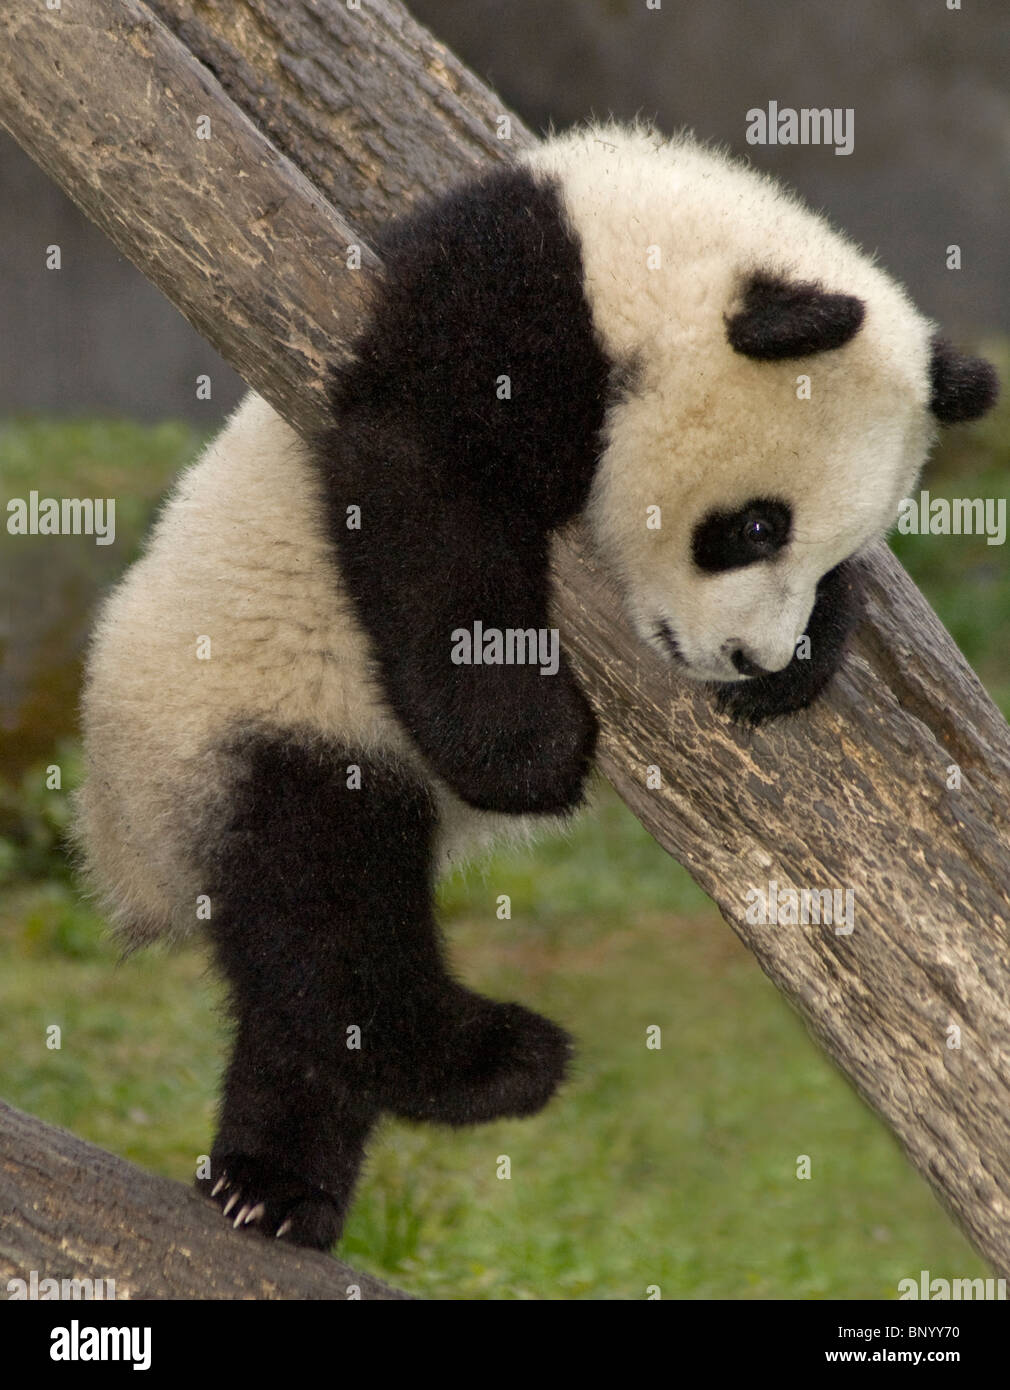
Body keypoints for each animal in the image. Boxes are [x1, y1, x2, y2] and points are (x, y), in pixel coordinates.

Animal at [75, 122, 998, 1251]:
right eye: (754, 525)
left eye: (826, 560)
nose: (754, 659)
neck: (638, 246)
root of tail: (128, 852)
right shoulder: (505, 305)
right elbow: (425, 490)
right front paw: (533, 756)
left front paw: (805, 664)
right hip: (244, 714)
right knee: (325, 907)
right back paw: (496, 1060)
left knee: (297, 995)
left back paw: (273, 1187)